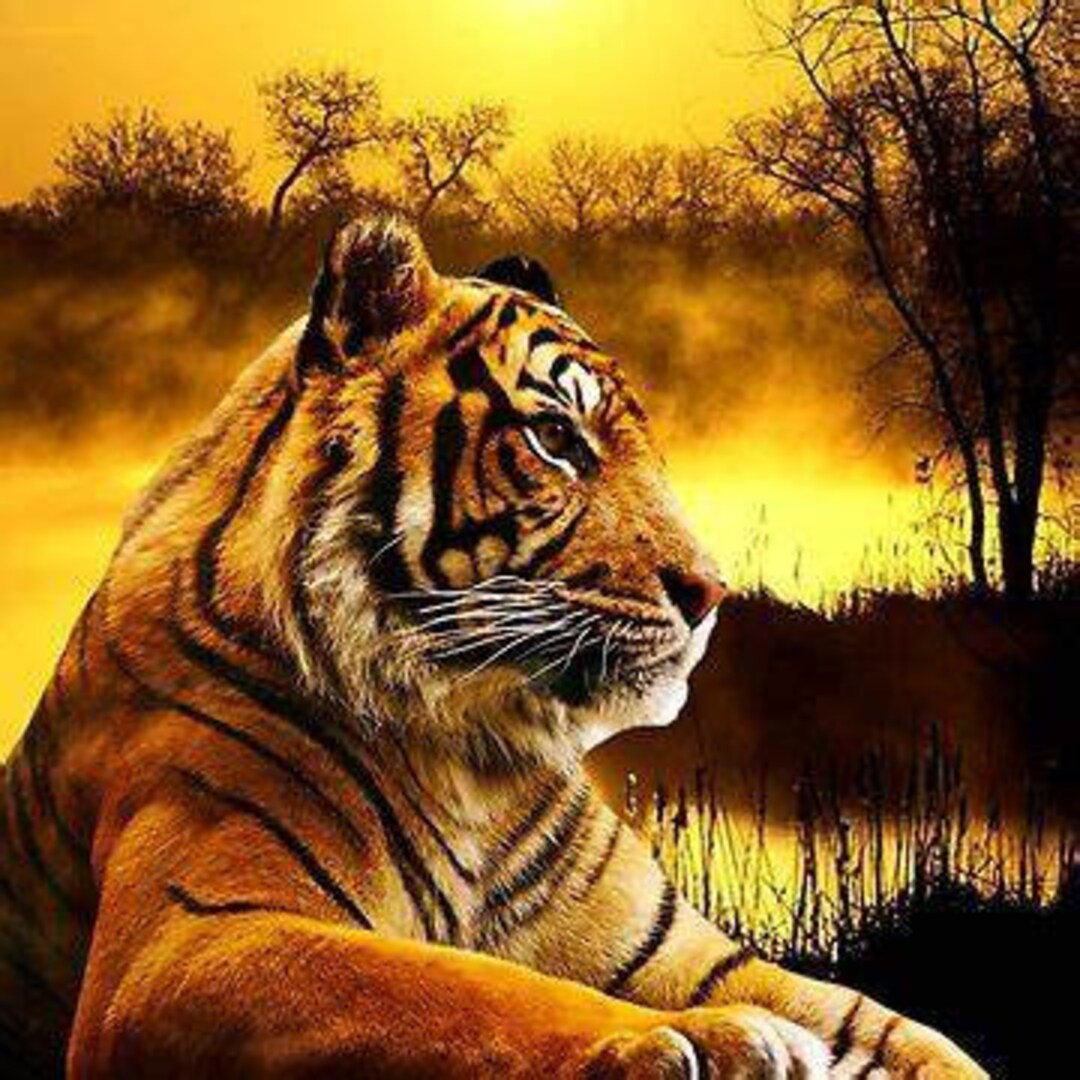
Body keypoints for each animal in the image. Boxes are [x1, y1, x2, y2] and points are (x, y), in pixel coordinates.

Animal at [0, 215, 987, 1079]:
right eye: (555, 439)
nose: (711, 592)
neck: (474, 750)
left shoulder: (688, 953)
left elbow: (908, 1034)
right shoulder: (186, 942)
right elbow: (466, 989)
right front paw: (706, 1041)